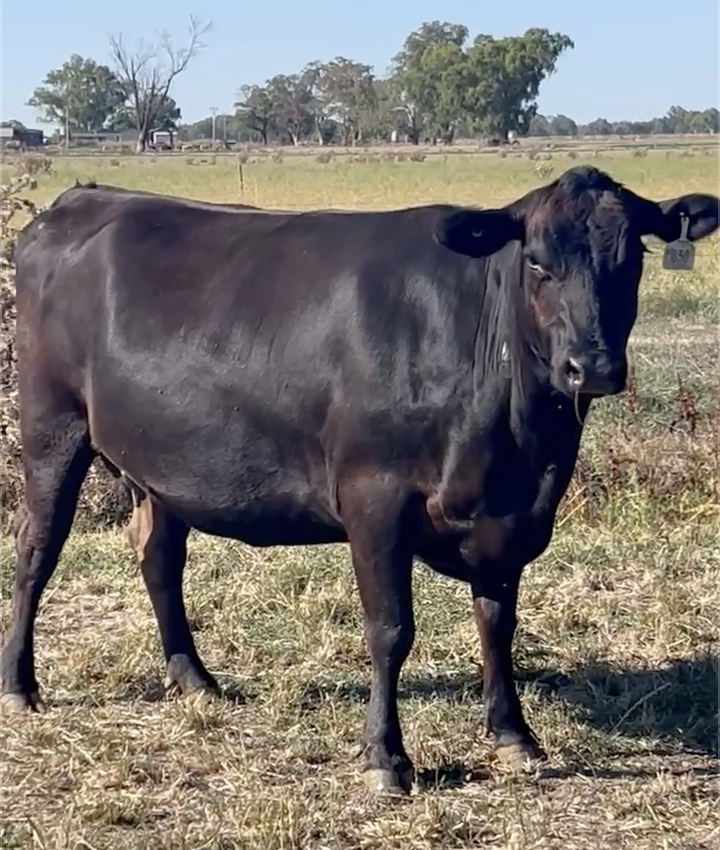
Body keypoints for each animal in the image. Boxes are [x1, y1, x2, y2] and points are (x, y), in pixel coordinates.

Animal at [2, 167, 717, 796]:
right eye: (537, 262)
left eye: (632, 259)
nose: (590, 367)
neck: (520, 445)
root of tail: (83, 198)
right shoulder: (375, 498)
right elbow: (390, 630)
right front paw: (386, 758)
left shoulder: (508, 518)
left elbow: (497, 621)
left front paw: (514, 735)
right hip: (50, 424)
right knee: (37, 547)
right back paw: (20, 685)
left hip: (158, 459)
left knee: (157, 552)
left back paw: (194, 677)